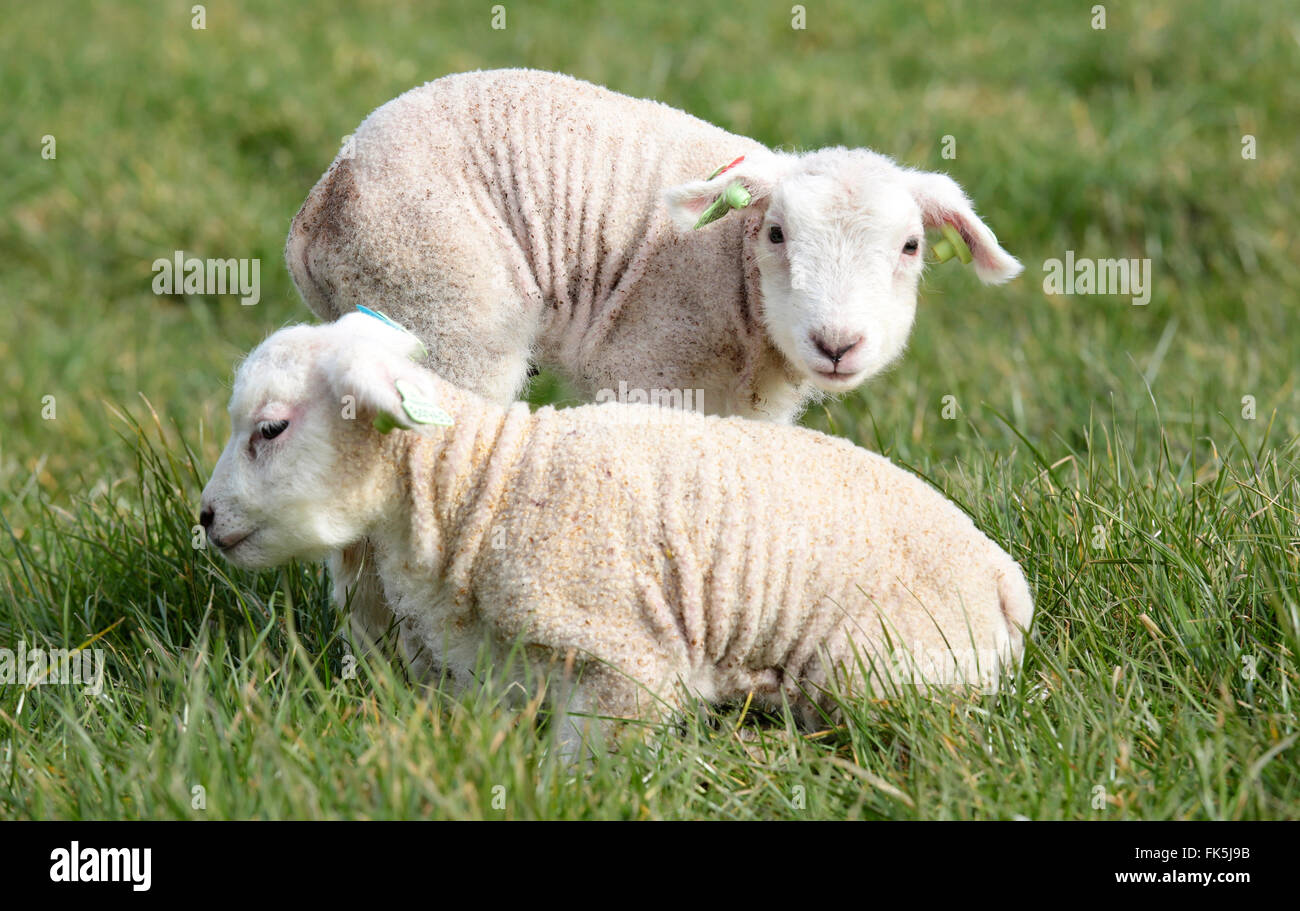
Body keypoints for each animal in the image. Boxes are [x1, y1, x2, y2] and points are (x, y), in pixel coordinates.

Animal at [199, 312, 1035, 757]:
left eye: (269, 429)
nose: (205, 517)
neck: (478, 488)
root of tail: (1007, 581)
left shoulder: (624, 660)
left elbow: (585, 758)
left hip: (875, 665)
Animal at [287, 68, 1023, 424]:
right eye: (777, 233)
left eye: (911, 247)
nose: (837, 343)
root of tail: (321, 201)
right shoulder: (649, 361)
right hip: (444, 301)